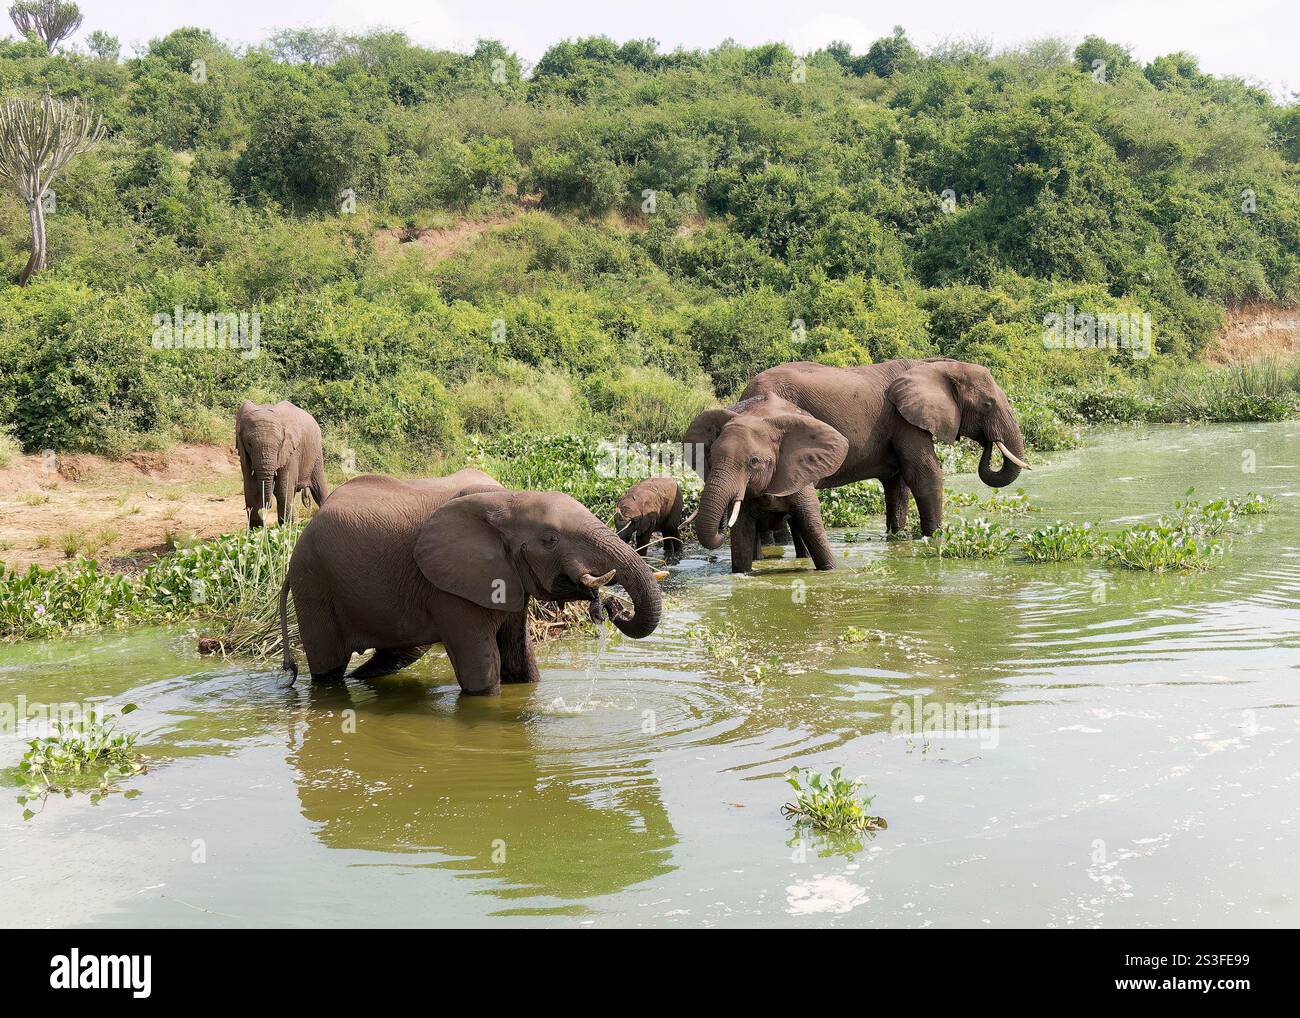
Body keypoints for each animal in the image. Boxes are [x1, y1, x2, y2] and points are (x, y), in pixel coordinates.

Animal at [235, 400, 328, 529]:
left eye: (280, 443)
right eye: (249, 444)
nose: (268, 506)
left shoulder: (291, 452)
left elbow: (283, 489)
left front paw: (286, 529)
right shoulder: (244, 455)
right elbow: (251, 489)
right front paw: (256, 532)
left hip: (316, 454)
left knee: (320, 489)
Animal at [278, 469, 666, 694]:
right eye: (550, 540)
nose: (611, 606)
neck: (509, 499)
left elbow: (520, 662)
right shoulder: (448, 587)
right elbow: (483, 672)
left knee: (399, 653)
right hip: (312, 582)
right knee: (328, 668)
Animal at [684, 393, 849, 573]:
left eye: (754, 461)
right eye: (711, 457)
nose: (721, 529)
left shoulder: (797, 472)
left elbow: (811, 524)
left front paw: (830, 570)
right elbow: (742, 532)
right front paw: (742, 572)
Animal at [741, 358, 1030, 536]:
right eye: (988, 404)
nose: (990, 444)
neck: (939, 366)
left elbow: (897, 484)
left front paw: (897, 536)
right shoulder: (904, 421)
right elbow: (925, 475)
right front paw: (936, 537)